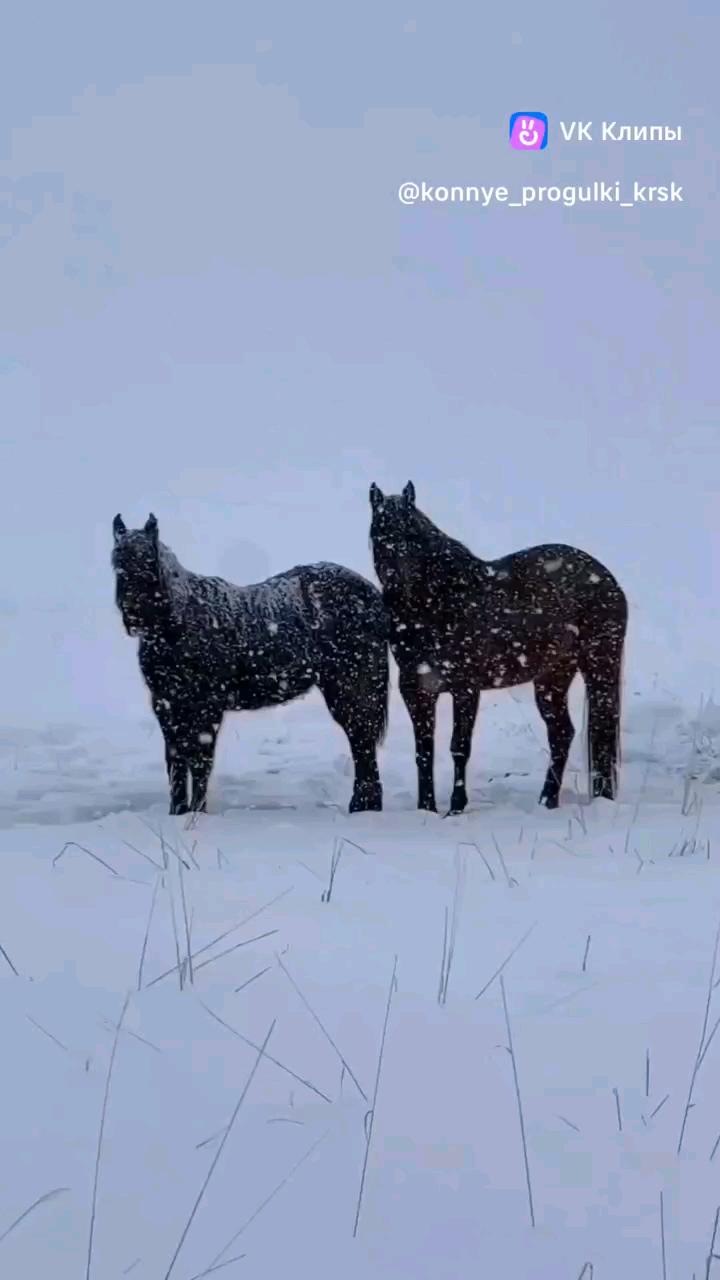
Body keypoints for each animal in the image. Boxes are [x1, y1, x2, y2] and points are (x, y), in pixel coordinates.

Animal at [110, 514, 386, 814]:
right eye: (117, 562)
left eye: (149, 561)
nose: (134, 616)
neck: (179, 625)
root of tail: (370, 594)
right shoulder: (167, 705)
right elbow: (176, 762)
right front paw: (178, 812)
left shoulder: (206, 708)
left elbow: (200, 762)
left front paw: (197, 812)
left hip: (350, 687)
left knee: (361, 738)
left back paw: (363, 805)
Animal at [366, 483, 625, 814]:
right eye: (378, 533)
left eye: (412, 533)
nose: (398, 588)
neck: (439, 604)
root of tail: (606, 578)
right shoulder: (417, 691)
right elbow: (424, 751)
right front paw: (426, 808)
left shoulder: (465, 689)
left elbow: (459, 748)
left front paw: (455, 808)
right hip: (552, 679)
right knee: (562, 734)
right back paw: (547, 800)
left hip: (599, 667)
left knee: (600, 728)